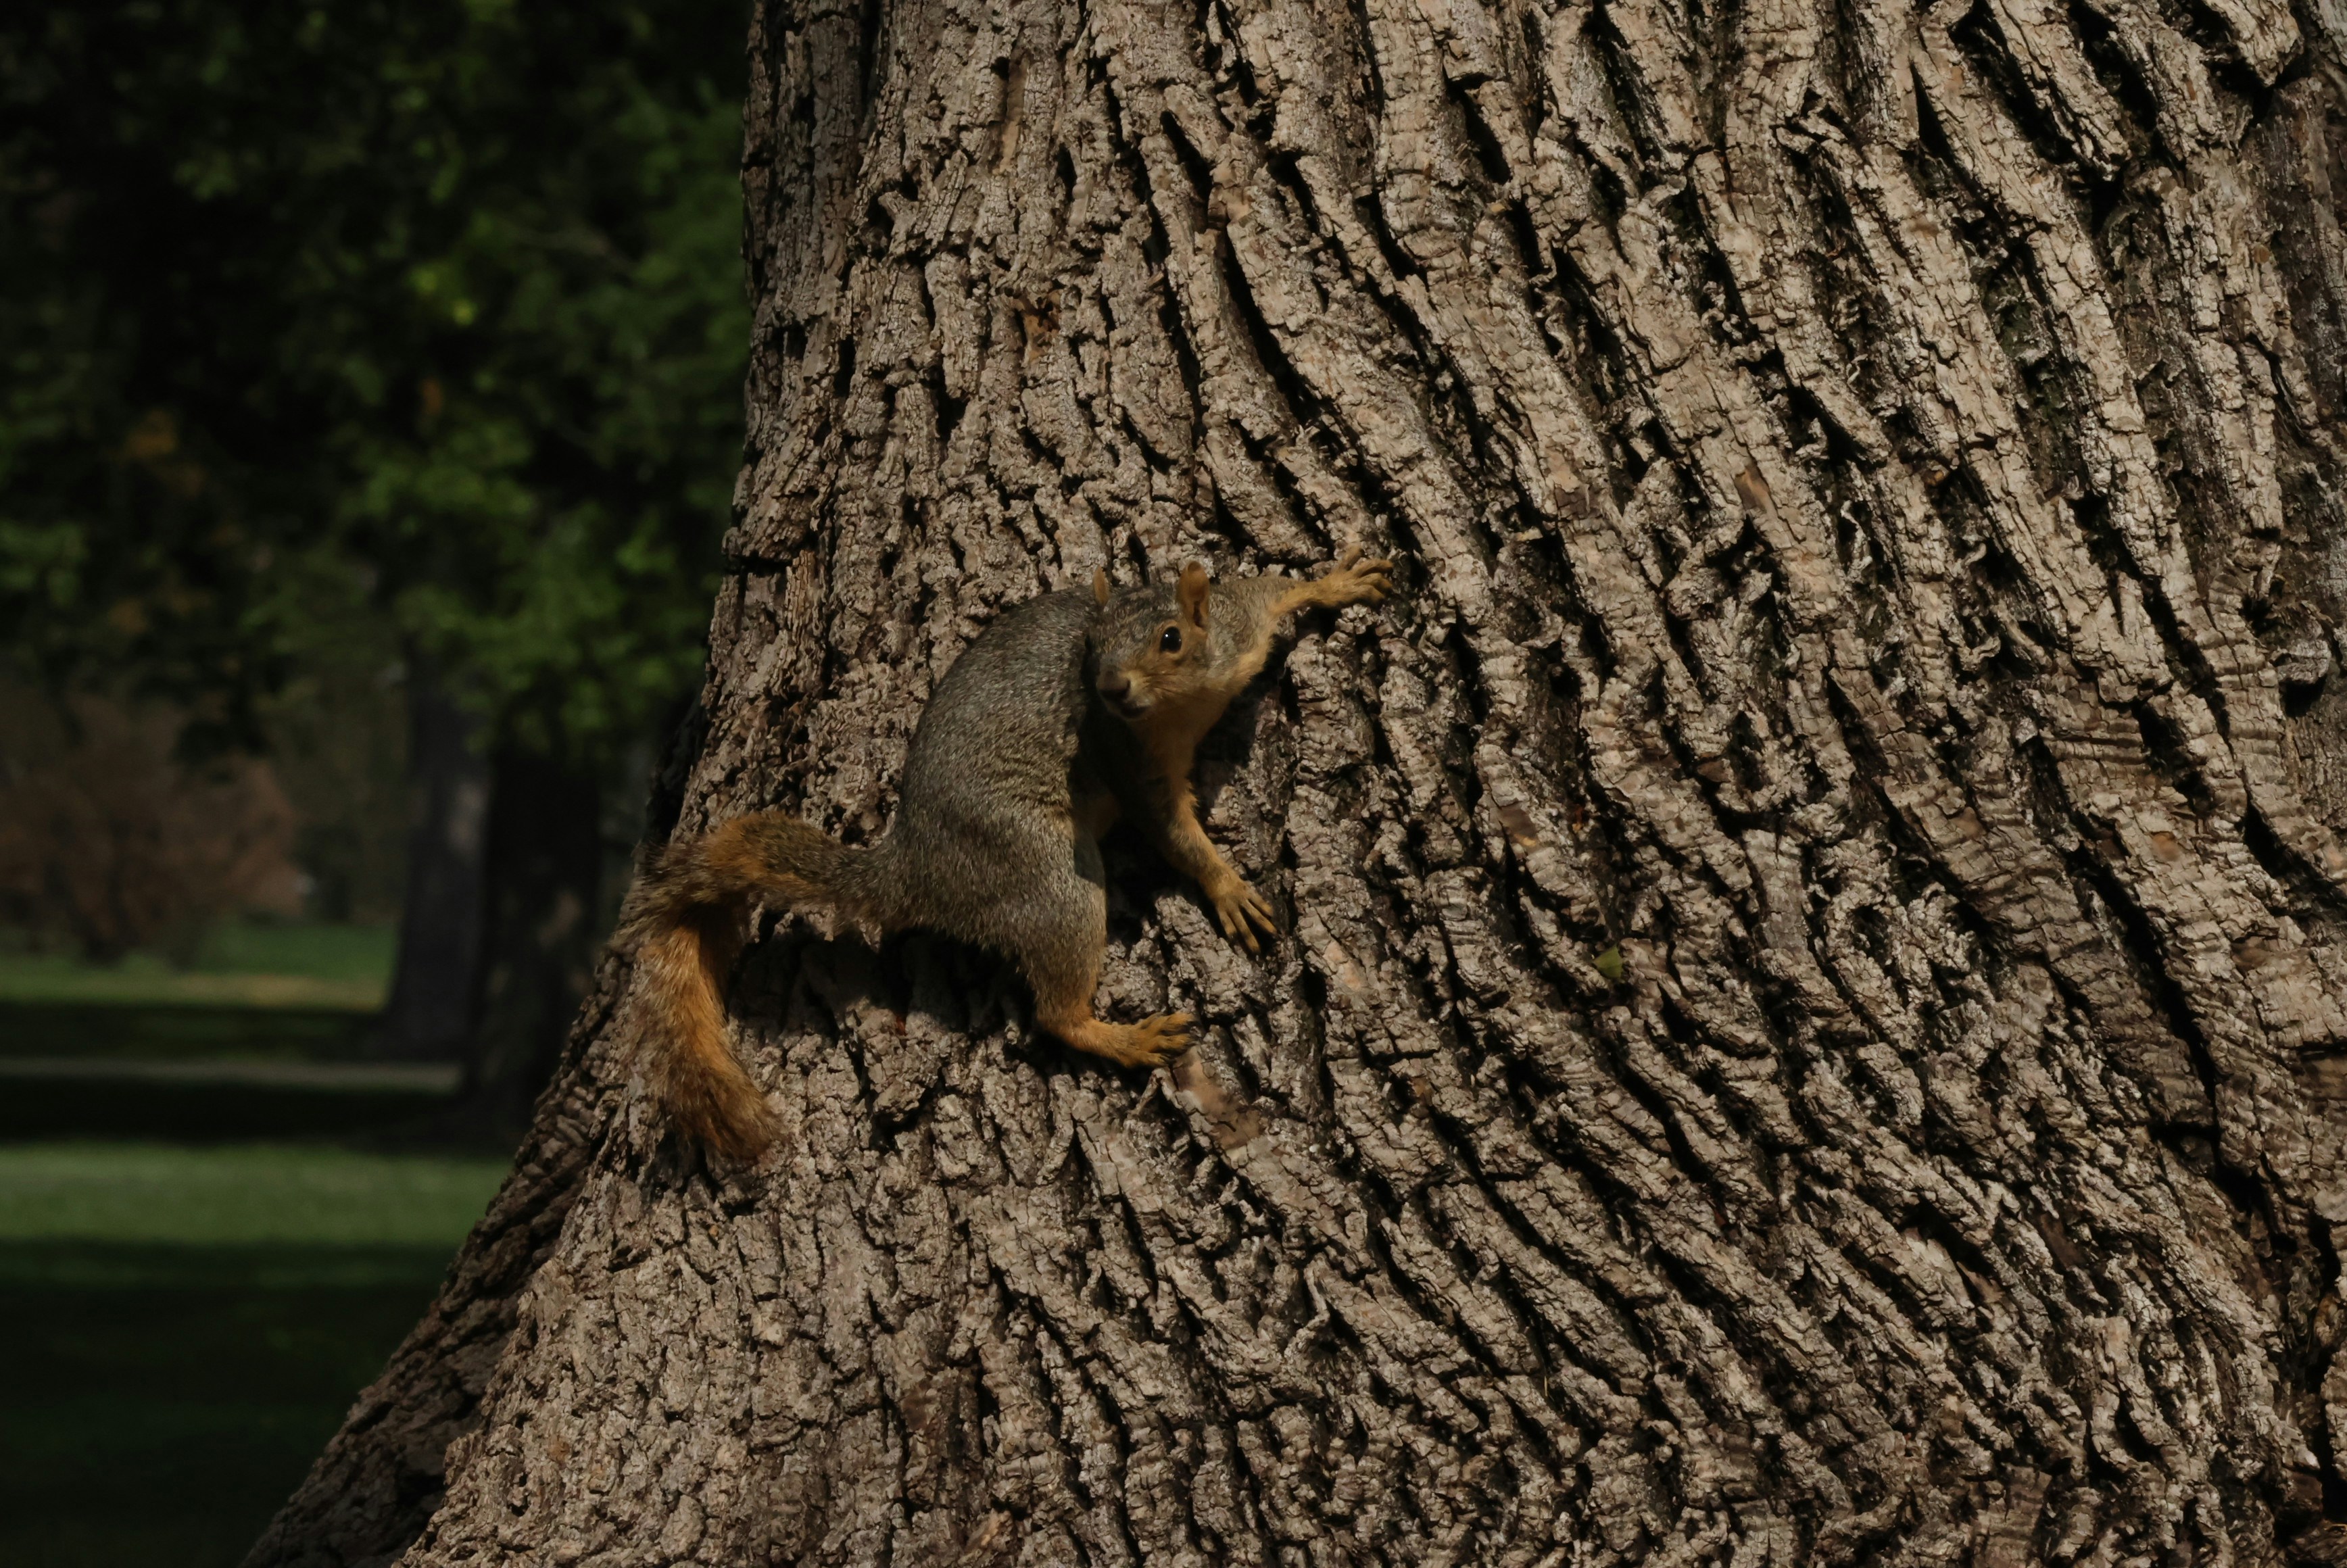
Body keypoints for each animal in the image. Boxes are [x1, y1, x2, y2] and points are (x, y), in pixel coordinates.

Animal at [619, 548, 1396, 1158]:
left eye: (1171, 638)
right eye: (1090, 647)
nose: (1110, 687)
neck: (1183, 705)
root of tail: (915, 869)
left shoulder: (1238, 630)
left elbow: (1272, 590)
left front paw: (1337, 581)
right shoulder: (1126, 758)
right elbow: (1171, 833)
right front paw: (1227, 888)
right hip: (1049, 875)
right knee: (1055, 1013)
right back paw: (1125, 1038)